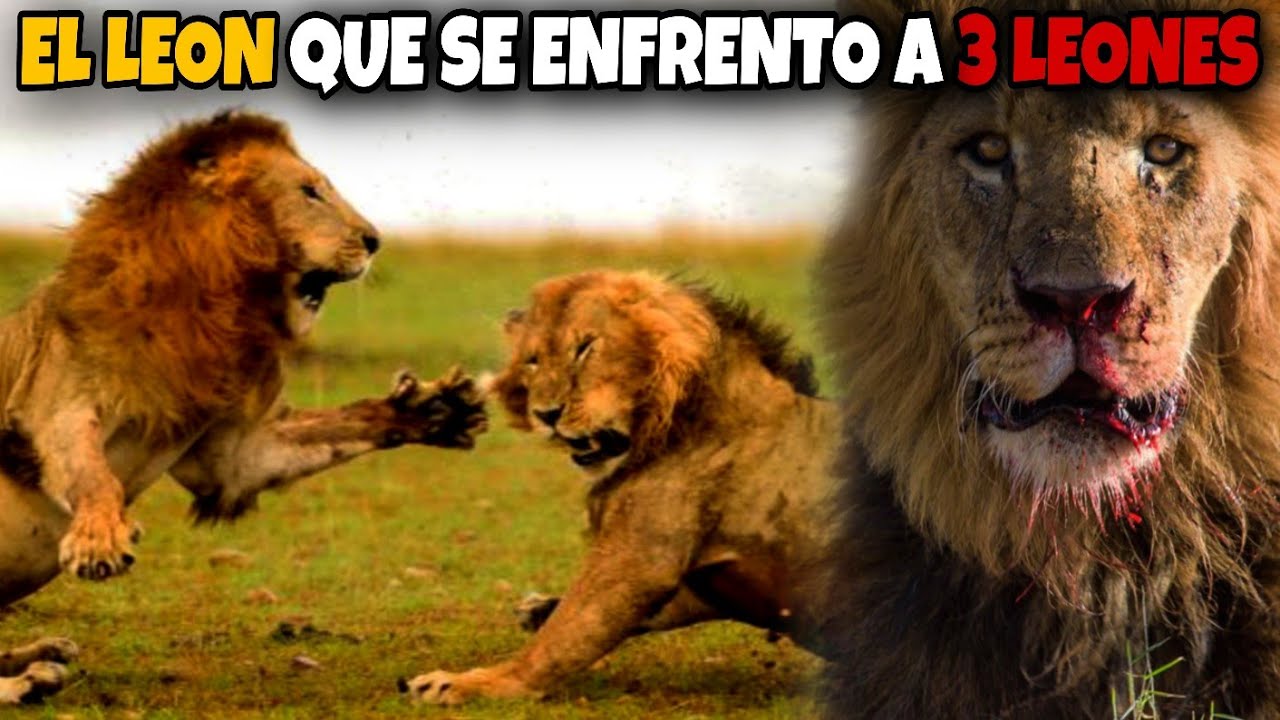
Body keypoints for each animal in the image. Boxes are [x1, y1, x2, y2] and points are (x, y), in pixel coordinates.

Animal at [0, 110, 487, 703]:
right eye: (310, 192)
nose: (374, 240)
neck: (213, 303)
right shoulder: (54, 401)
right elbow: (90, 470)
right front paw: (100, 541)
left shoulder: (225, 452)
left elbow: (323, 431)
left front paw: (434, 409)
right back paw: (27, 680)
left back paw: (46, 654)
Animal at [401, 270, 840, 704]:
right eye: (533, 361)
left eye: (584, 348)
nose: (546, 414)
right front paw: (539, 610)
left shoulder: (639, 561)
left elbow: (563, 638)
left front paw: (468, 683)